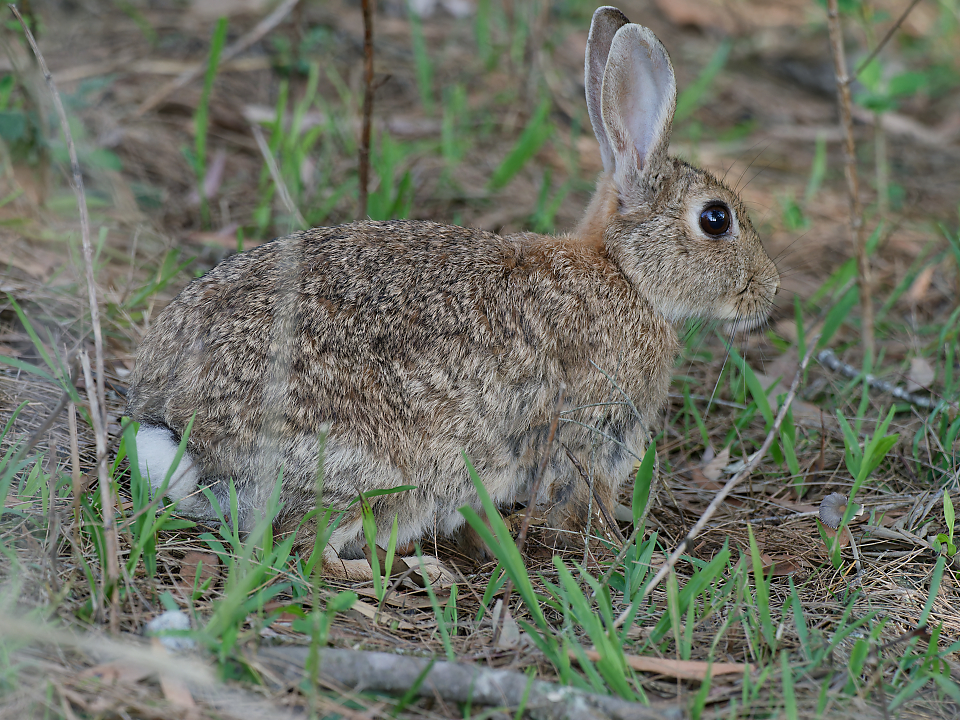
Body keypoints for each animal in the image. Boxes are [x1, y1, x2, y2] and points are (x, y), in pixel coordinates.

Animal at [125, 6, 780, 568]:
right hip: (381, 471)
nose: (768, 291)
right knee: (303, 546)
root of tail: (182, 434)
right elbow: (579, 506)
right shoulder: (589, 437)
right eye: (716, 219)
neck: (624, 273)